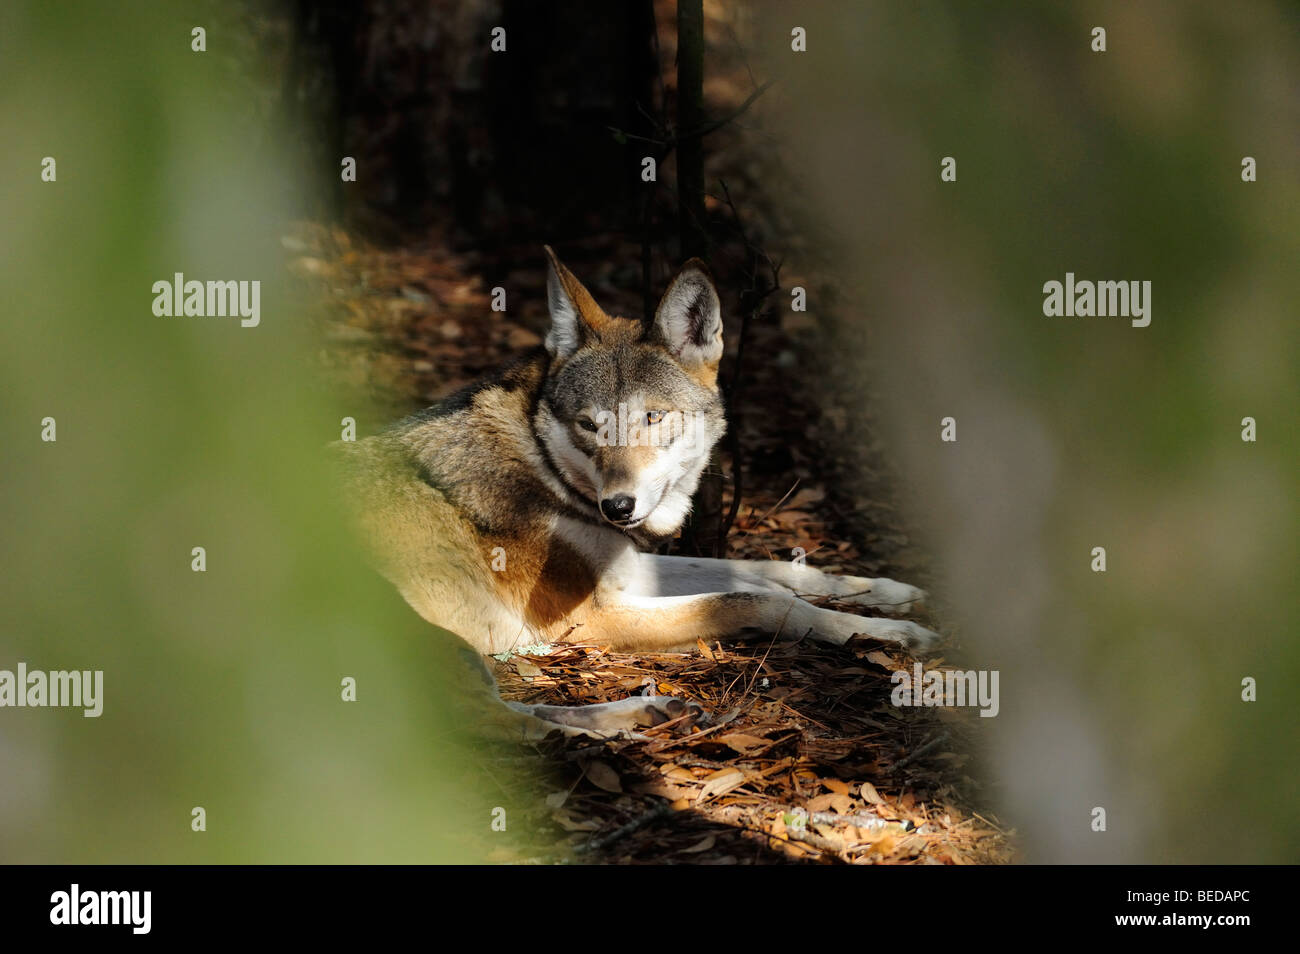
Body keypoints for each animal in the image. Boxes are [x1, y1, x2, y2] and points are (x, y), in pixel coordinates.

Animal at [339, 247, 941, 739]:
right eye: (589, 425)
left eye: (652, 417)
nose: (618, 507)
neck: (547, 467)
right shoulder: (589, 618)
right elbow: (756, 598)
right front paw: (892, 633)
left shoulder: (627, 569)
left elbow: (772, 572)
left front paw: (889, 594)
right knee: (491, 726)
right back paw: (609, 733)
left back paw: (647, 712)